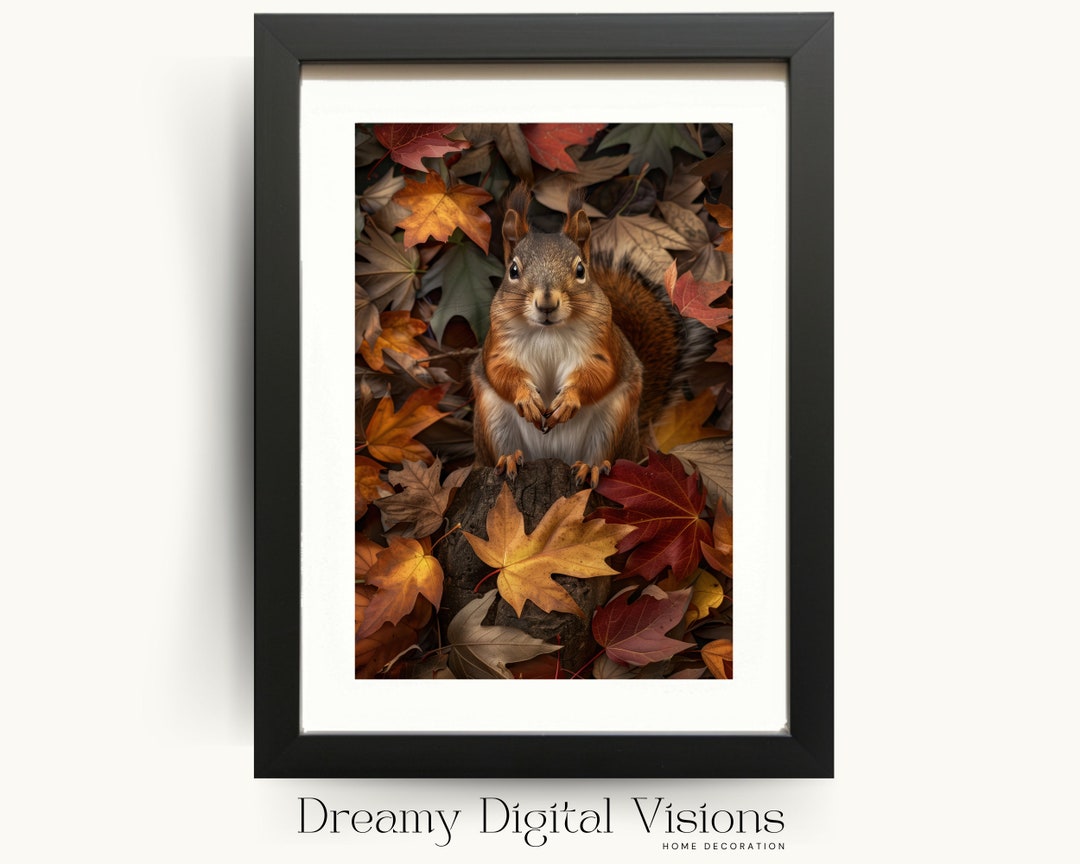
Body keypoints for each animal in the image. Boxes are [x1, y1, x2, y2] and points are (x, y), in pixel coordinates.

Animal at [470, 185, 706, 487]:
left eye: (581, 270)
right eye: (513, 270)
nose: (547, 304)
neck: (548, 333)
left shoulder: (603, 344)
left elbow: (600, 373)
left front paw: (569, 400)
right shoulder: (498, 341)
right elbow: (499, 370)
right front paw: (526, 397)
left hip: (613, 422)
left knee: (606, 455)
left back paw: (591, 467)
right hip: (493, 420)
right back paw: (510, 458)